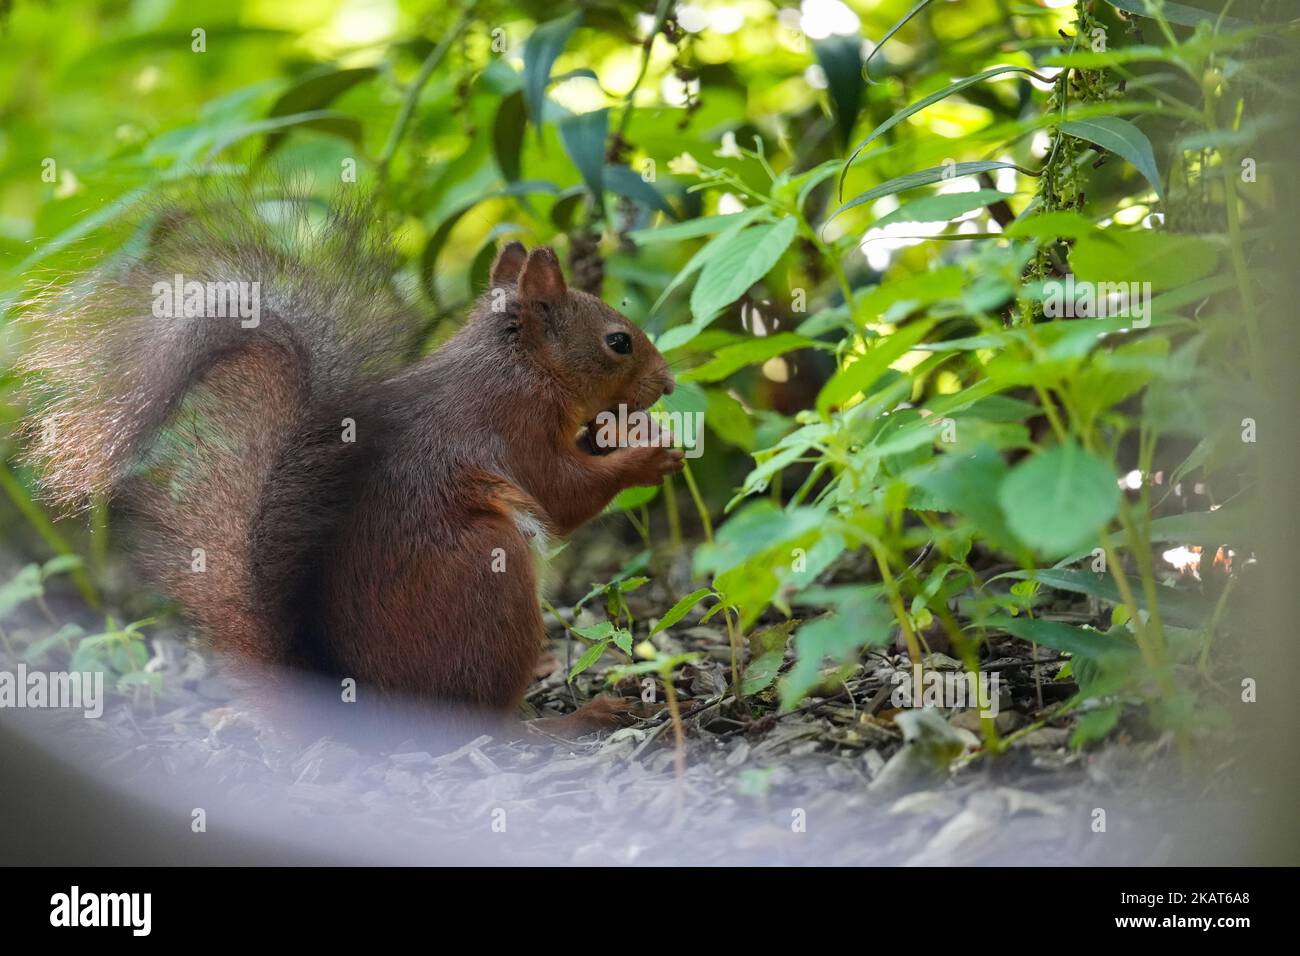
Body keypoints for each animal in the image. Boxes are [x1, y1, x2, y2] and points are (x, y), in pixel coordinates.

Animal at [23, 195, 683, 733]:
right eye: (618, 341)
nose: (669, 384)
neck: (519, 368)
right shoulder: (510, 433)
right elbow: (562, 496)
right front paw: (650, 456)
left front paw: (616, 432)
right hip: (486, 578)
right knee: (487, 729)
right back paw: (573, 719)